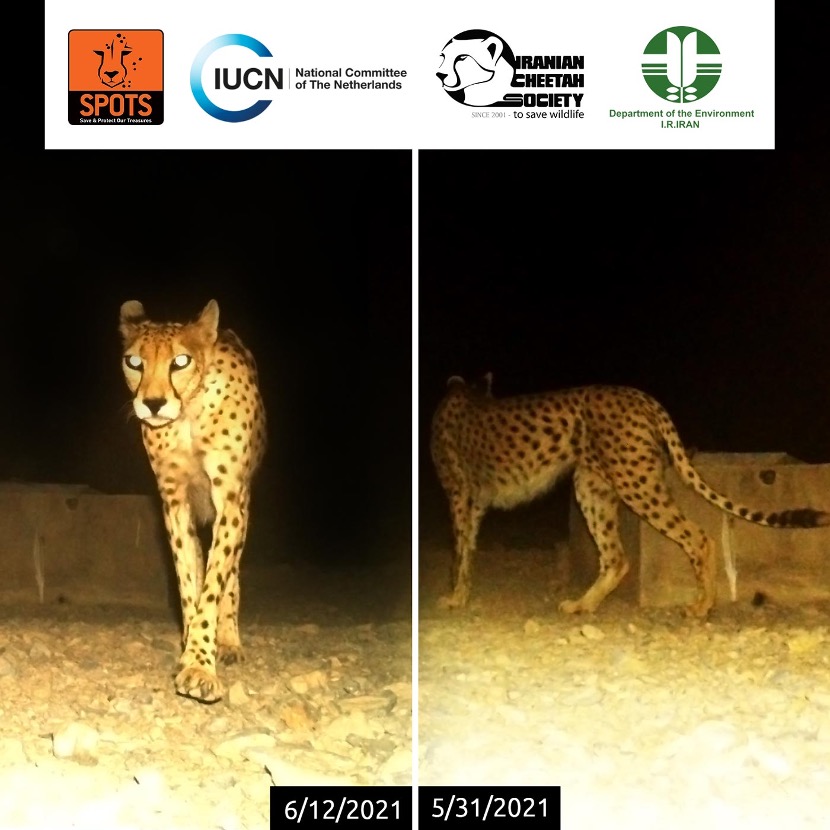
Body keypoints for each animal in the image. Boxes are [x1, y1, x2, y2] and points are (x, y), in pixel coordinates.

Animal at [119, 299, 266, 702]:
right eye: (134, 362)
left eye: (180, 361)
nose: (153, 404)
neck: (188, 413)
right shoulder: (175, 502)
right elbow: (189, 581)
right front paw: (192, 652)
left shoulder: (230, 501)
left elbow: (215, 583)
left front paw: (202, 663)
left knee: (231, 576)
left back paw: (229, 641)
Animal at [431, 377, 830, 617]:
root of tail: (639, 394)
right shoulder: (474, 501)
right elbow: (468, 550)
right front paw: (460, 594)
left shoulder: (459, 494)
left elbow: (459, 550)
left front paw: (454, 597)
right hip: (591, 485)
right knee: (616, 557)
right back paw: (584, 604)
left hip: (634, 482)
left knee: (698, 537)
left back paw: (702, 605)